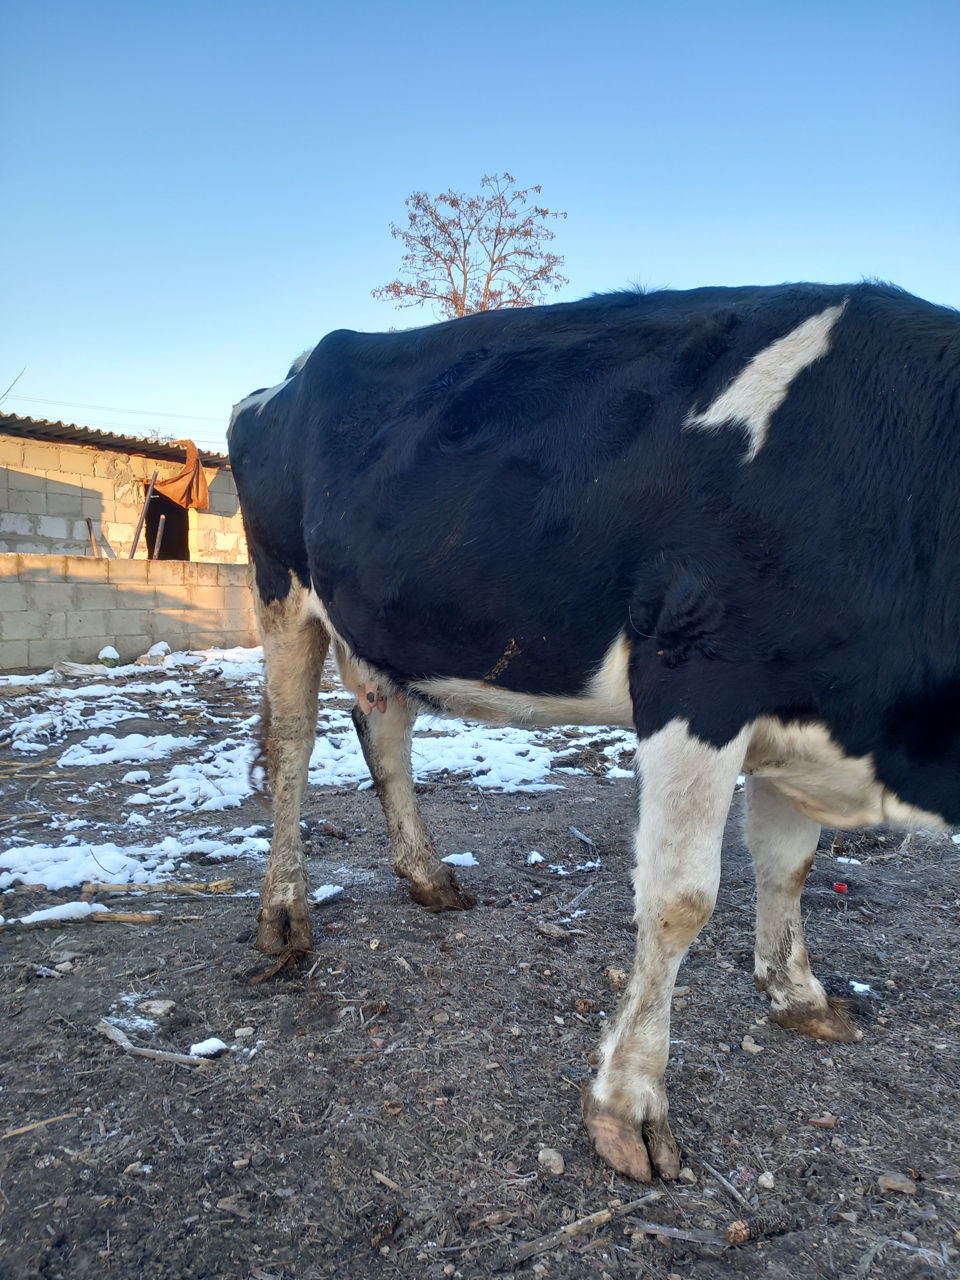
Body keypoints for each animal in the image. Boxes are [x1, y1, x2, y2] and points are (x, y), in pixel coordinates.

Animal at [227, 282, 960, 1182]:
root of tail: (294, 371)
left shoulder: (797, 712)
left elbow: (788, 867)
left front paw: (798, 993)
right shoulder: (697, 676)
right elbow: (681, 900)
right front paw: (628, 1104)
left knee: (382, 724)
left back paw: (428, 877)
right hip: (280, 587)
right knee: (292, 743)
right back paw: (284, 914)